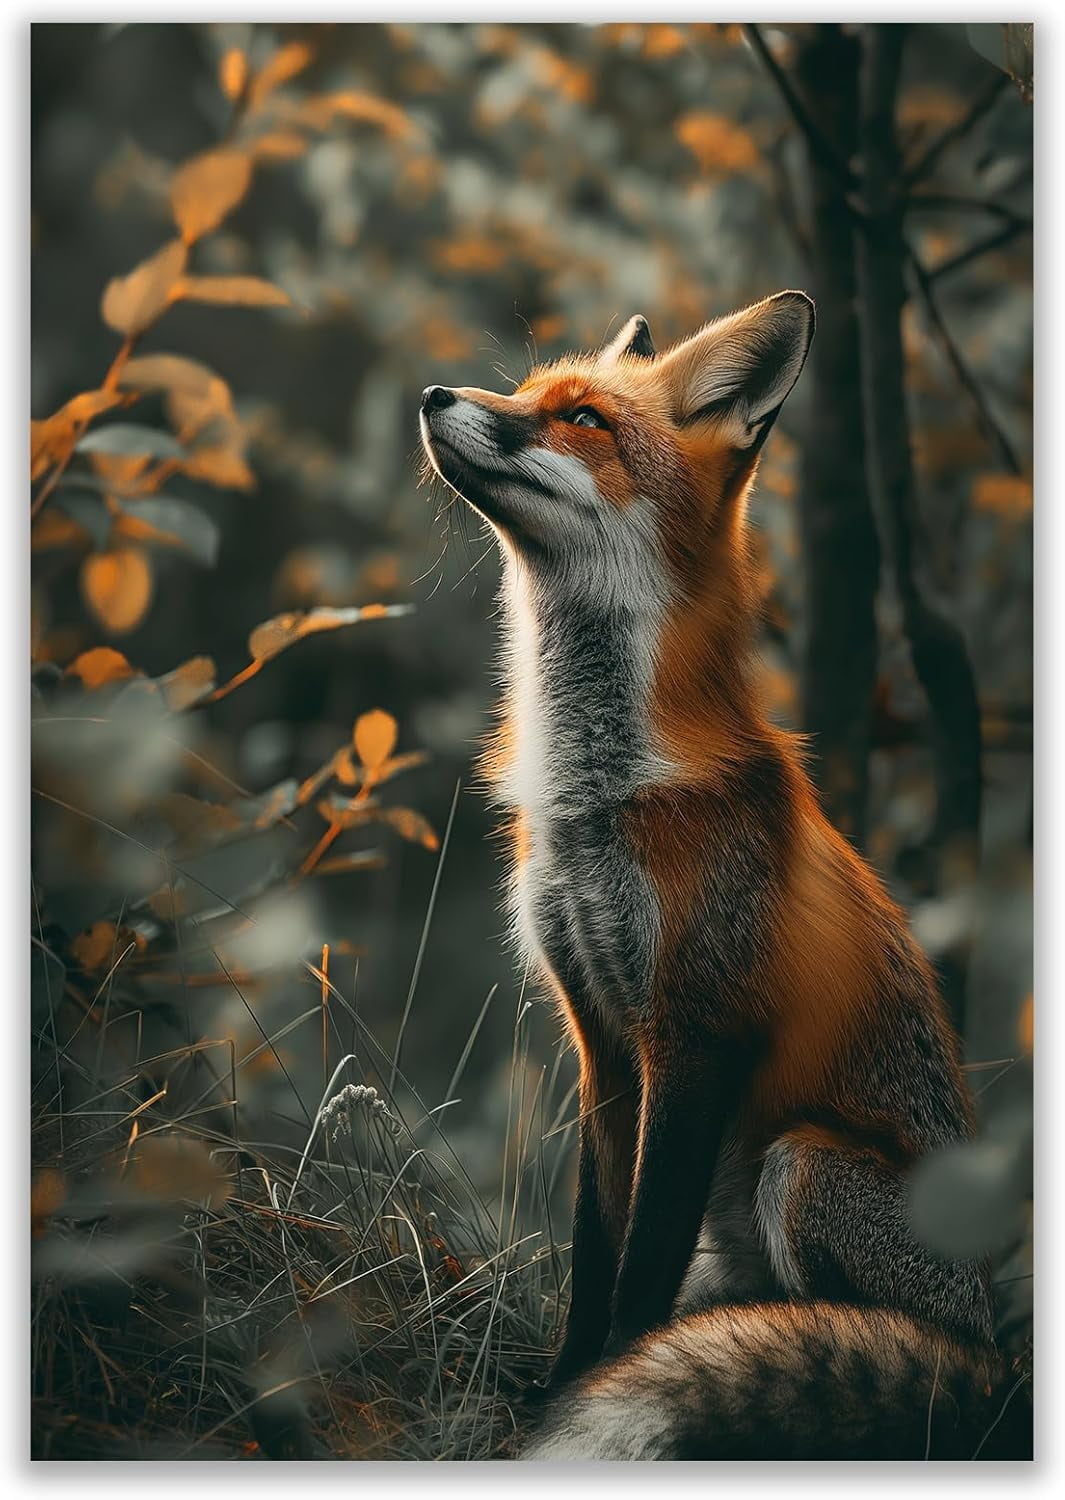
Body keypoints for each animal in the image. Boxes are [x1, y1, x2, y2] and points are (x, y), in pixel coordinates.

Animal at [418, 292, 1030, 1460]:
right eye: (525, 393)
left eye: (581, 419)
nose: (432, 394)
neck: (597, 792)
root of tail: (1001, 1354)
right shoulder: (602, 1035)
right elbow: (595, 1251)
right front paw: (561, 1383)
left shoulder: (696, 1028)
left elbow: (642, 1260)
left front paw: (604, 1386)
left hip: (801, 1165)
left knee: (884, 1353)